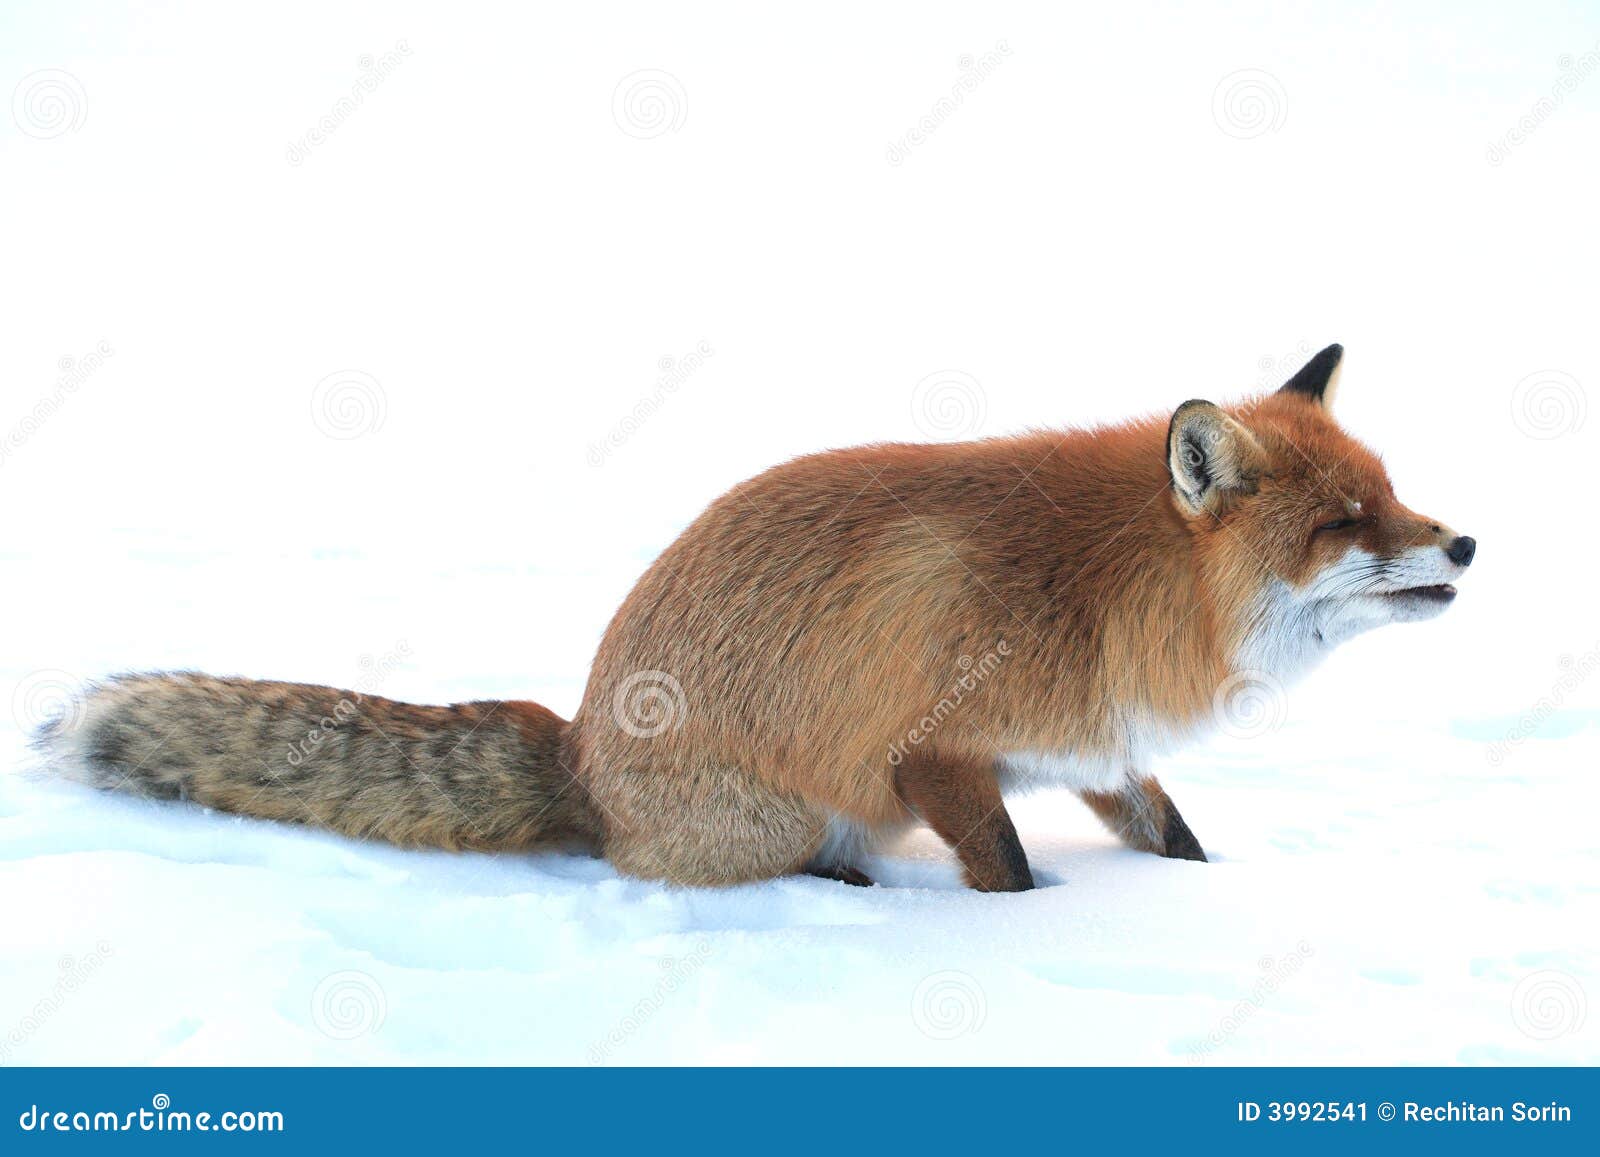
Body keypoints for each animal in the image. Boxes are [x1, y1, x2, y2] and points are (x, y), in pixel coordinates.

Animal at [42, 344, 1474, 891]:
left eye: (1391, 493)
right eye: (1344, 520)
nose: (1463, 540)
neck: (1111, 588)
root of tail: (581, 750)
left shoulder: (1097, 752)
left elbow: (1175, 840)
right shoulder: (932, 753)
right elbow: (1009, 873)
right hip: (797, 815)